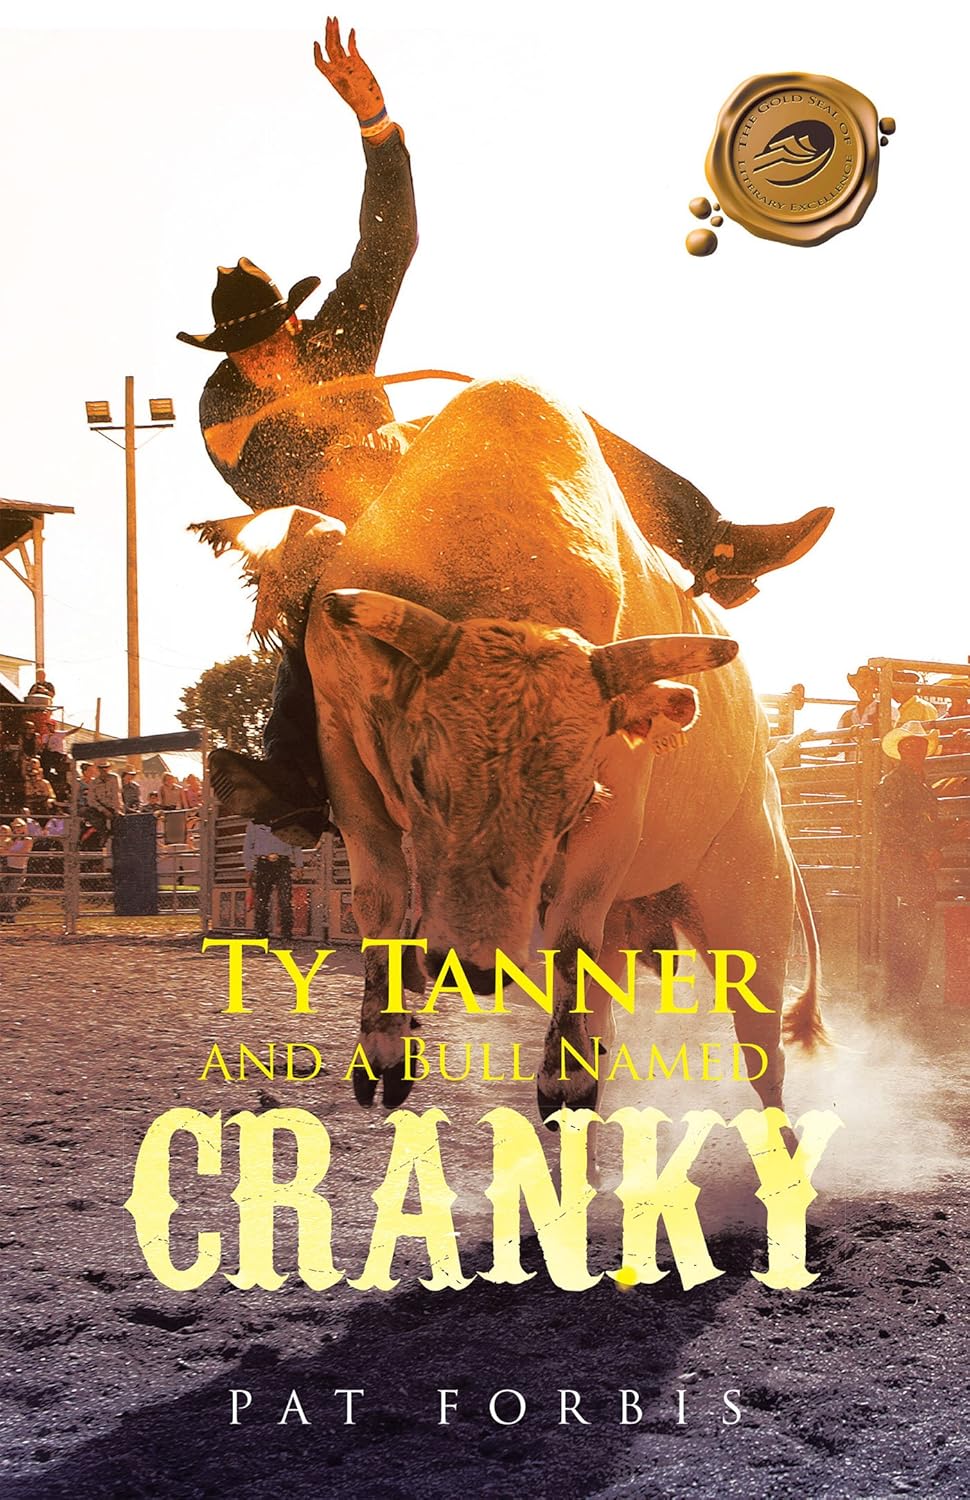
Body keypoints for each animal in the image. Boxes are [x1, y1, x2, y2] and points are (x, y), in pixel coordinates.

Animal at [196, 377, 824, 1118]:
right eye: (417, 774)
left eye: (574, 798)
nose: (473, 968)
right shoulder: (343, 745)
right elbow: (380, 896)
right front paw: (385, 1047)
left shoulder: (618, 792)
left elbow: (573, 929)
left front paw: (561, 1077)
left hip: (750, 911)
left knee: (764, 1061)